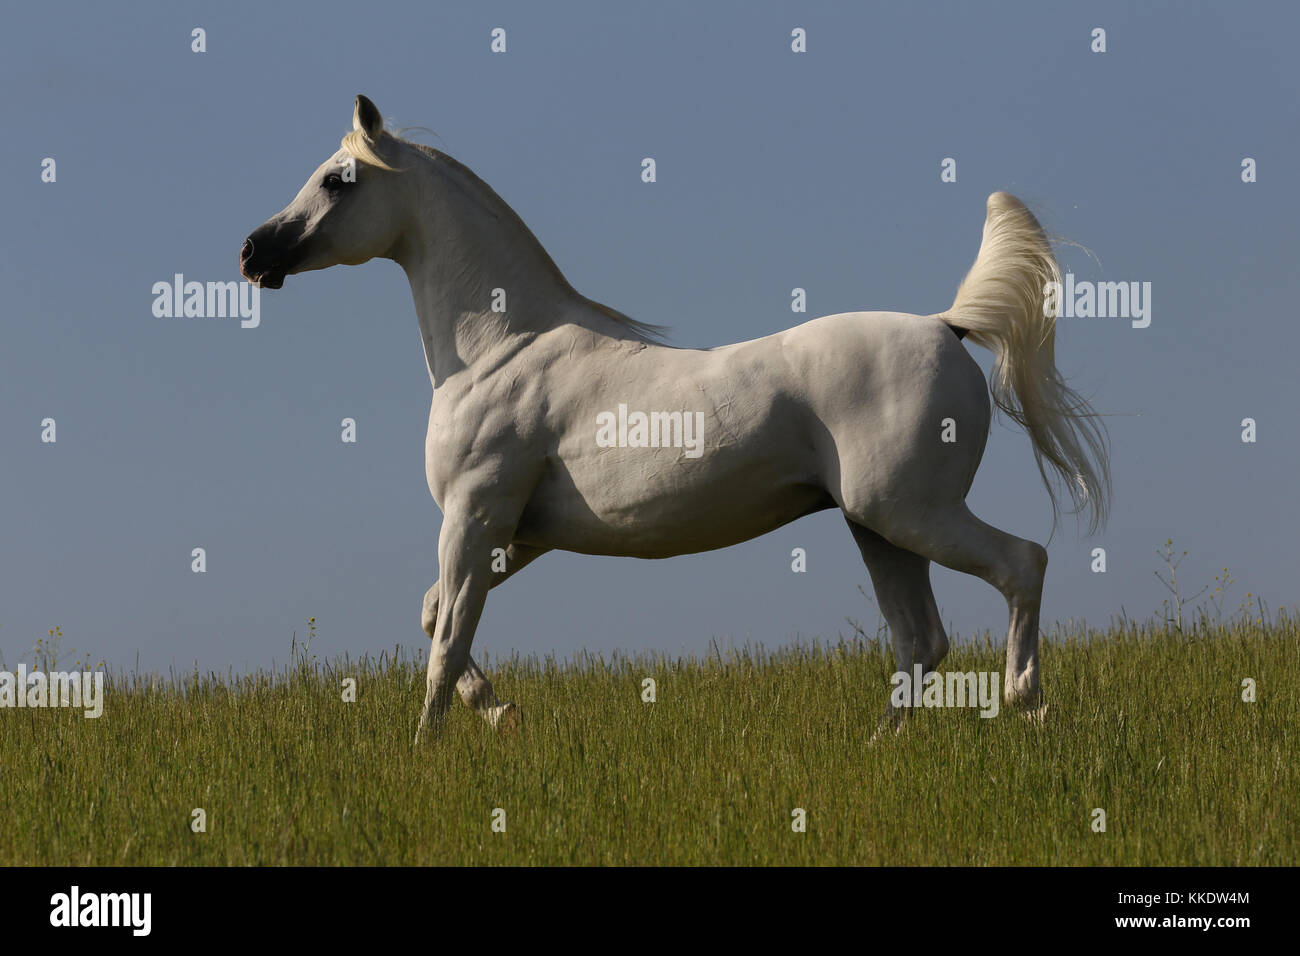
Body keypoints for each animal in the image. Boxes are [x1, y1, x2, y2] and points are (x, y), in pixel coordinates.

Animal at [240, 95, 1109, 742]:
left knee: (1021, 565)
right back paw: (881, 748)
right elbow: (433, 618)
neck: (502, 348)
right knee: (921, 638)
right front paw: (501, 712)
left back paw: (1028, 703)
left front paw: (425, 750)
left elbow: (447, 642)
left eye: (338, 180)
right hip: (878, 527)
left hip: (911, 513)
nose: (253, 253)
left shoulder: (475, 516)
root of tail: (946, 325)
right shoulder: (519, 533)